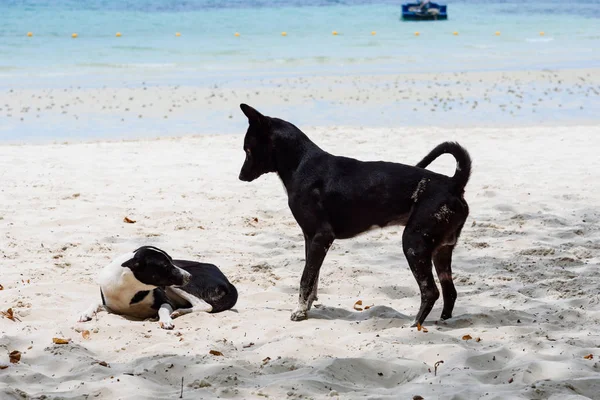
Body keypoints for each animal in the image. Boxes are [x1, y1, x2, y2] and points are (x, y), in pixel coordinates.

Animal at [78, 245, 238, 330]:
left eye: (172, 261)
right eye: (166, 266)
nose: (189, 276)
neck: (130, 287)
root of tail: (228, 282)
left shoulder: (166, 300)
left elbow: (163, 308)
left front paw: (166, 320)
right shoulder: (112, 307)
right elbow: (96, 303)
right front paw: (85, 313)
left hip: (176, 286)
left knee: (205, 305)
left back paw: (178, 311)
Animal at [237, 104, 472, 328]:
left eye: (247, 149)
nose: (240, 176)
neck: (301, 164)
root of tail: (453, 183)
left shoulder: (321, 236)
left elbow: (305, 278)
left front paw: (300, 311)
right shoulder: (310, 239)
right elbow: (313, 277)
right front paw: (308, 306)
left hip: (414, 245)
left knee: (431, 291)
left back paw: (415, 324)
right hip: (440, 251)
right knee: (450, 292)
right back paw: (443, 321)